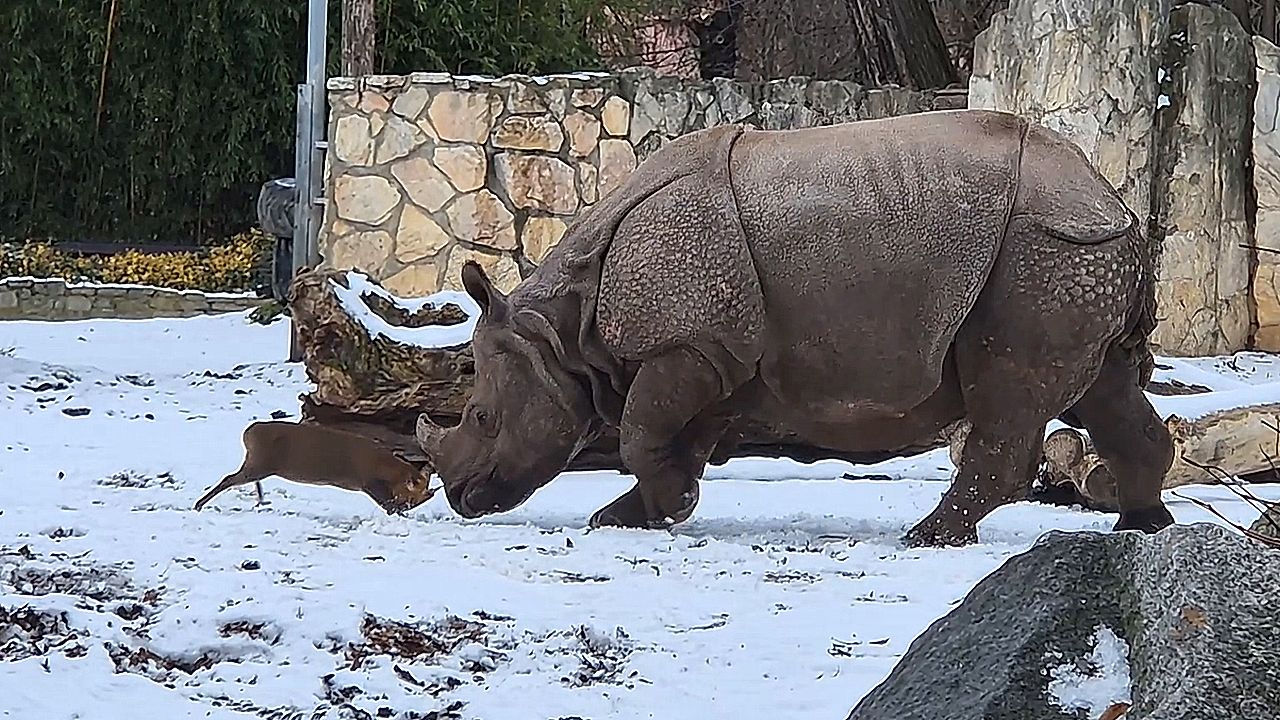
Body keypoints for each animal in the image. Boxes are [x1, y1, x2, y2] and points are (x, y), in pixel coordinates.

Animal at [194, 421, 436, 514]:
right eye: (410, 498)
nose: (407, 507)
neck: (385, 468)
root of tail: (247, 433)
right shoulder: (366, 480)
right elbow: (386, 503)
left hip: (257, 462)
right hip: (261, 462)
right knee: (229, 478)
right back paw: (198, 505)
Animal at [415, 109, 1176, 547]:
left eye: (481, 417)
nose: (459, 497)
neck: (560, 333)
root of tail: (1108, 194)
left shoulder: (688, 343)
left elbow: (637, 432)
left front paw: (667, 506)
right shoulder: (718, 352)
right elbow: (675, 437)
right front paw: (637, 514)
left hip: (1043, 248)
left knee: (1010, 394)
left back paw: (926, 538)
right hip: (1076, 253)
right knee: (1104, 387)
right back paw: (1140, 528)